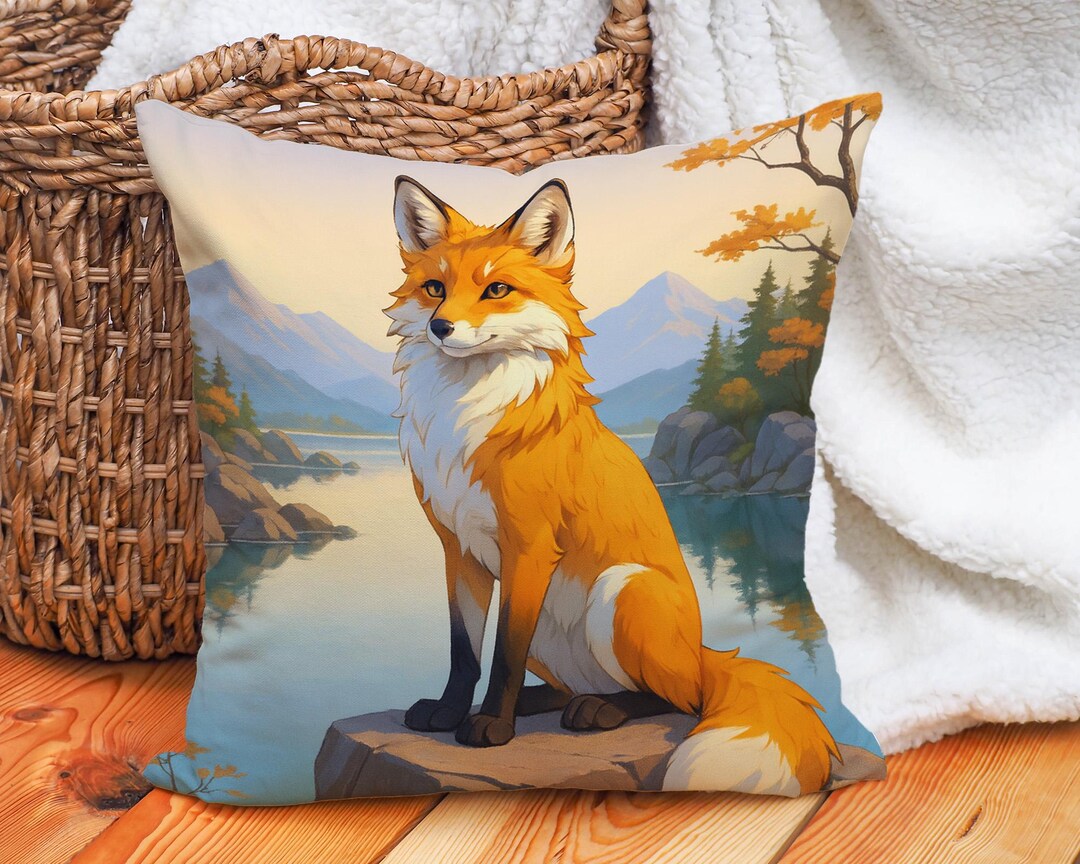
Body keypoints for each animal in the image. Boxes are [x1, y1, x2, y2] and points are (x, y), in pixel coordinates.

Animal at [384, 174, 841, 795]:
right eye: (434, 288)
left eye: (497, 290)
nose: (440, 326)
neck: (465, 420)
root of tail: (704, 652)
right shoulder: (460, 549)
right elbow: (466, 652)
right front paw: (452, 713)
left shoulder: (529, 547)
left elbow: (502, 655)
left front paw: (490, 728)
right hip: (558, 628)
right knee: (575, 685)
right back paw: (547, 701)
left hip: (621, 590)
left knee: (679, 699)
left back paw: (600, 711)